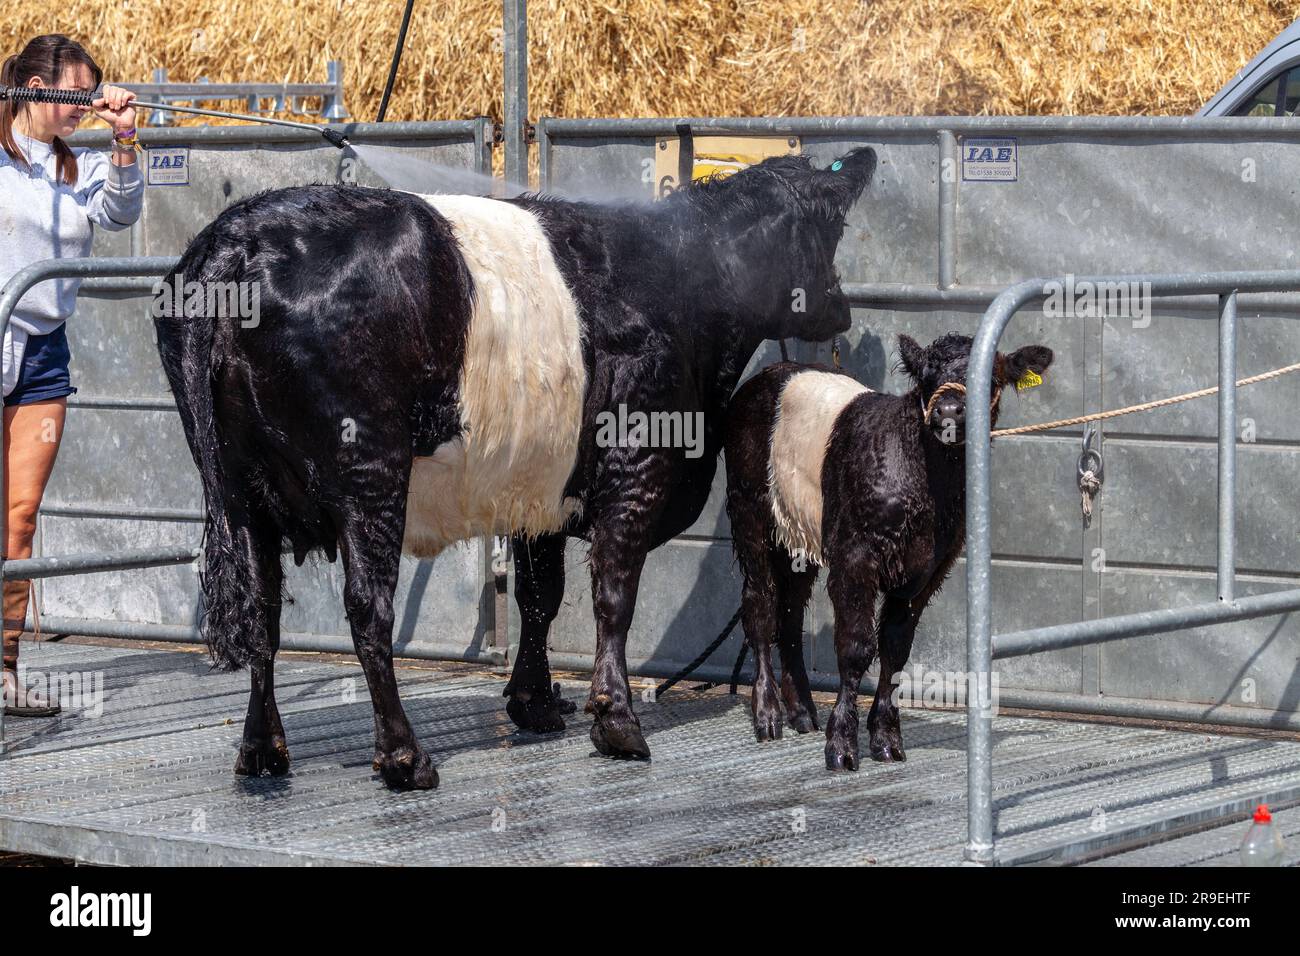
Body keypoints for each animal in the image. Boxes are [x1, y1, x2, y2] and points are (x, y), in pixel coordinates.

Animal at [153, 147, 878, 789]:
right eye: (832, 227)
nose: (843, 309)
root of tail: (237, 239)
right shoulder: (637, 467)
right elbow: (614, 593)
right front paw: (616, 719)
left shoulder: (542, 489)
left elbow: (539, 596)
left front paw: (534, 702)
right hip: (371, 475)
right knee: (367, 609)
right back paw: (404, 757)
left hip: (241, 494)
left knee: (262, 612)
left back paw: (262, 749)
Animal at [723, 334, 1053, 770]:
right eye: (926, 375)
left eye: (990, 376)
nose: (949, 411)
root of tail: (768, 373)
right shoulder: (854, 556)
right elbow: (856, 647)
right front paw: (841, 745)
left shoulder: (929, 567)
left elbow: (895, 650)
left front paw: (886, 738)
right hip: (749, 508)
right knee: (760, 604)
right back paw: (768, 714)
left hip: (797, 533)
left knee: (790, 613)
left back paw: (803, 713)